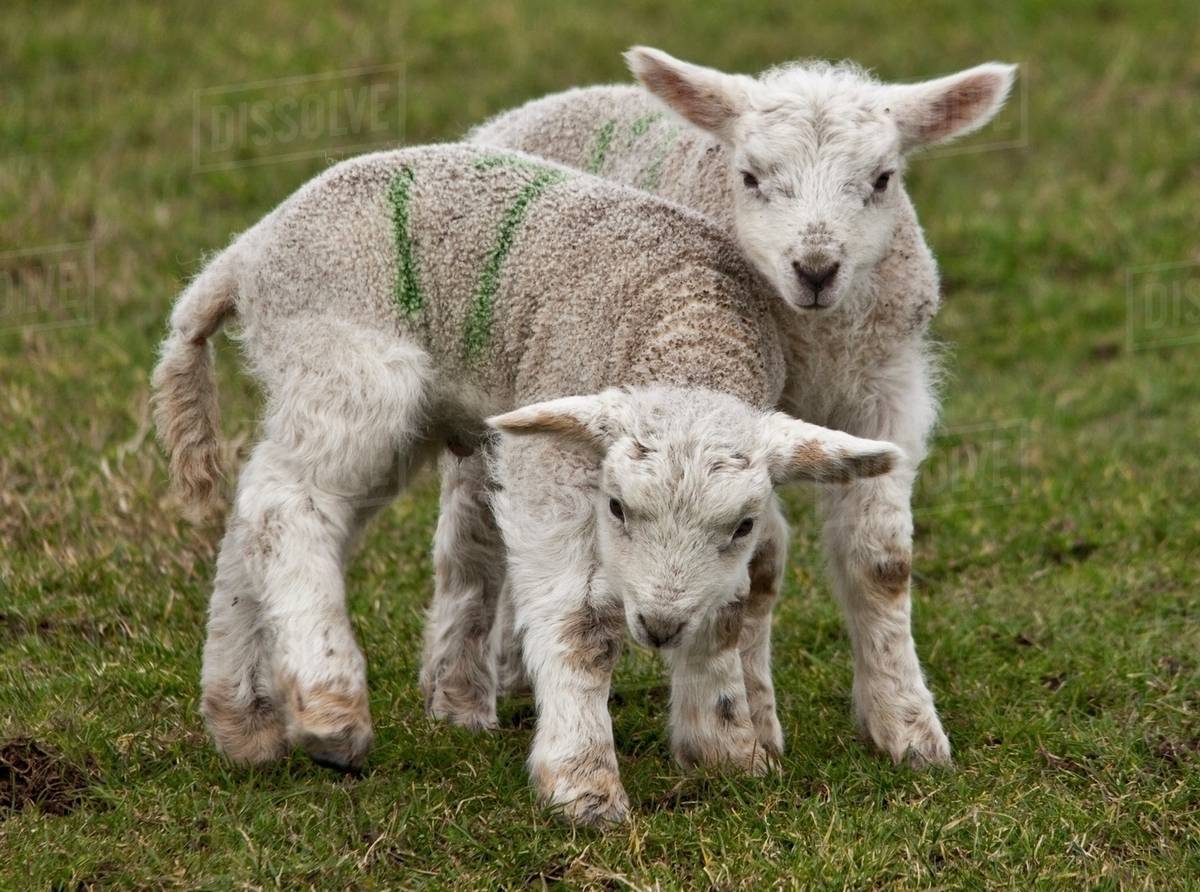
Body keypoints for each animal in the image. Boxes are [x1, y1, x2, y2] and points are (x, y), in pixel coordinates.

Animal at [444, 47, 1018, 768]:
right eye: (748, 177)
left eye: (883, 179)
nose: (816, 268)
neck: (817, 345)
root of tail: (540, 105)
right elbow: (760, 569)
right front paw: (752, 727)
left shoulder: (885, 392)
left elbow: (881, 562)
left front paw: (907, 728)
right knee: (475, 533)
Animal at [486, 385, 900, 824]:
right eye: (615, 506)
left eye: (744, 526)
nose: (660, 626)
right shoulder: (549, 474)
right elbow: (585, 627)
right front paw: (584, 782)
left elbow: (730, 617)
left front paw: (728, 750)